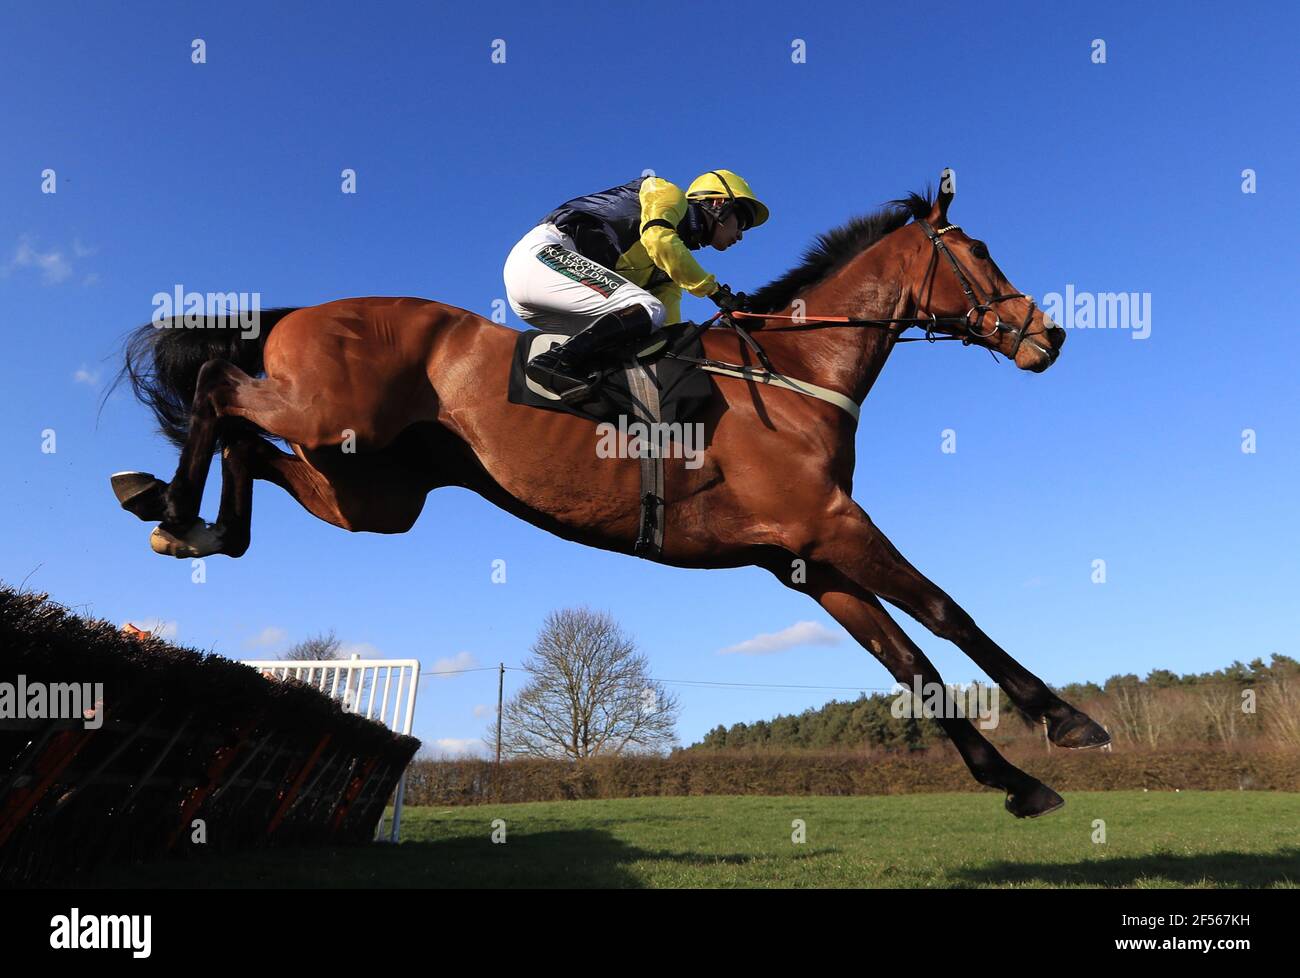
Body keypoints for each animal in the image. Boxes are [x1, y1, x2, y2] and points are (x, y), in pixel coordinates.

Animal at [110, 180, 1106, 818]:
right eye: (978, 252)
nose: (1049, 336)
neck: (794, 371)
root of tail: (300, 310)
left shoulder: (807, 556)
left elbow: (910, 665)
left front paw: (1015, 781)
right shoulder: (835, 526)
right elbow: (946, 613)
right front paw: (1066, 719)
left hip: (373, 489)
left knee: (249, 447)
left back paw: (180, 519)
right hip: (333, 417)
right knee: (219, 392)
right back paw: (171, 506)